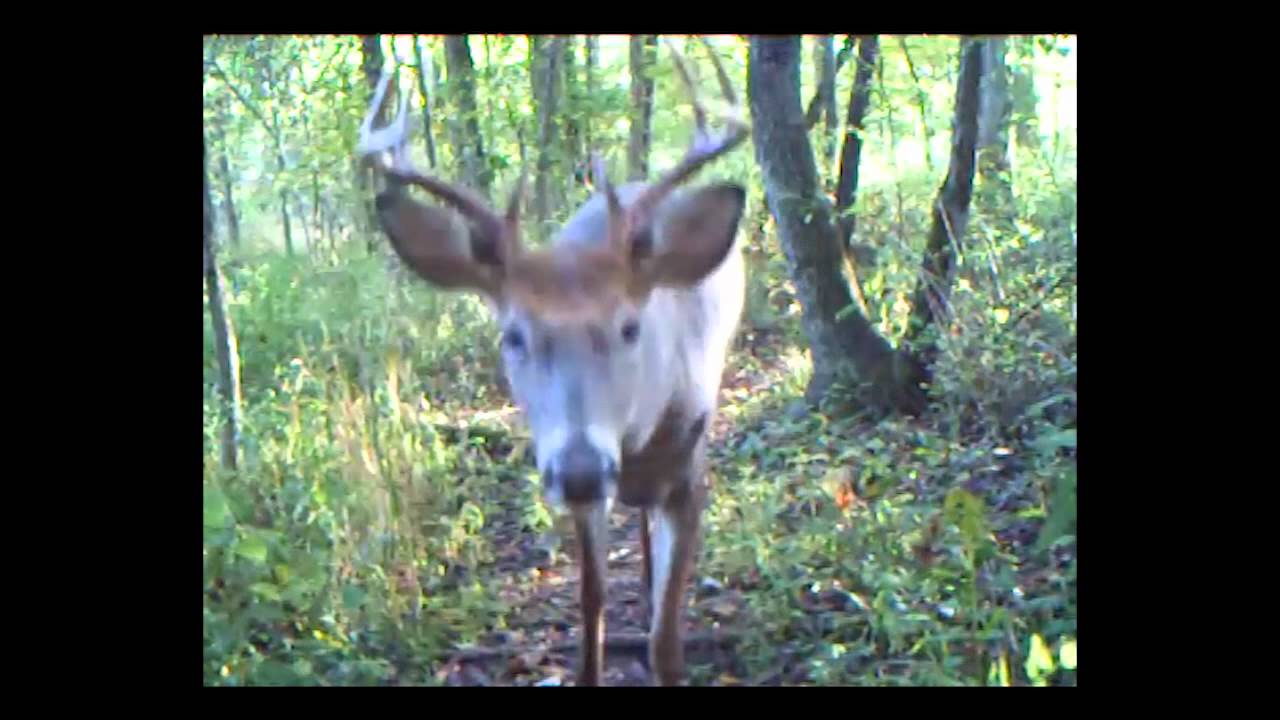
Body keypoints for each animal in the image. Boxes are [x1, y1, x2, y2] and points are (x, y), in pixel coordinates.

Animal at [356, 37, 750, 687]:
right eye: (513, 335)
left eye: (629, 326)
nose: (581, 470)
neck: (638, 437)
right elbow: (590, 604)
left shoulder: (690, 470)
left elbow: (666, 636)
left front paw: (663, 641)